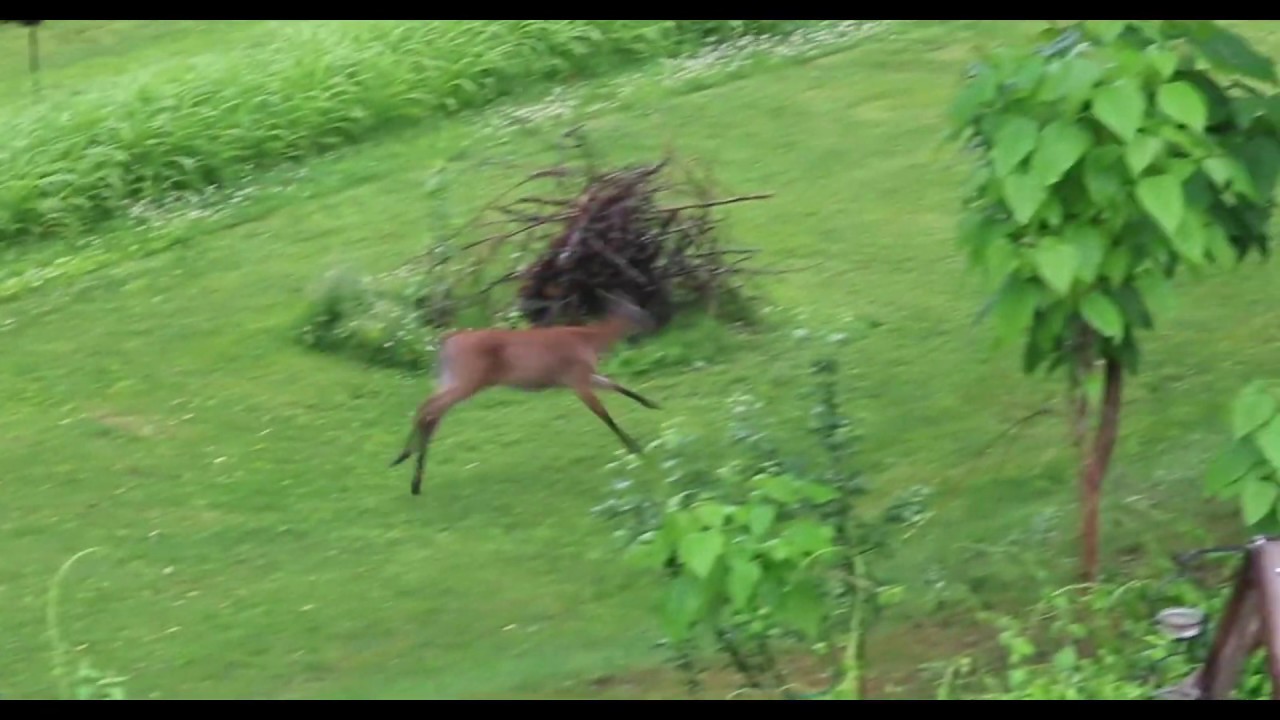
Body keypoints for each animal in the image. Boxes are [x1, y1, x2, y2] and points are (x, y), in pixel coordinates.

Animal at [389, 293, 661, 496]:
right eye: (640, 311)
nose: (656, 322)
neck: (590, 340)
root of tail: (446, 339)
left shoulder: (585, 376)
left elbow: (618, 386)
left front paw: (652, 404)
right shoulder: (576, 378)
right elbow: (604, 415)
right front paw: (634, 446)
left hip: (451, 378)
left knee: (428, 409)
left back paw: (408, 468)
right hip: (468, 378)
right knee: (429, 410)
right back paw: (408, 468)